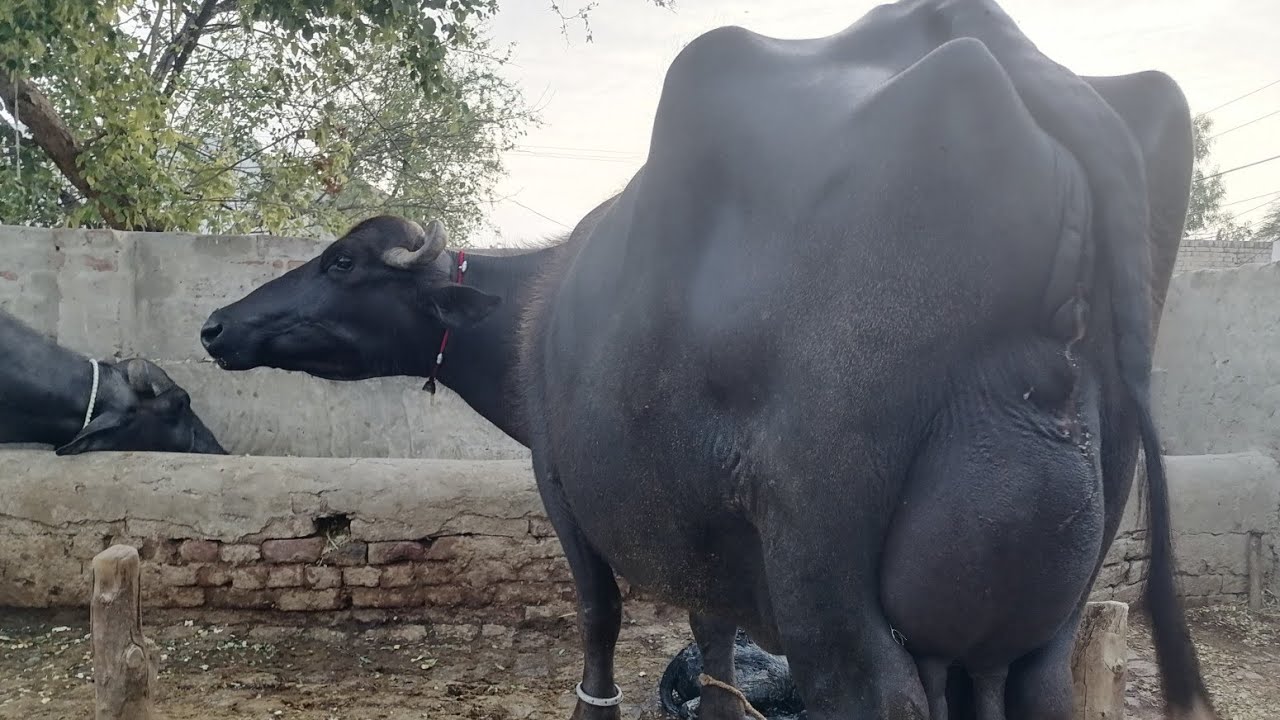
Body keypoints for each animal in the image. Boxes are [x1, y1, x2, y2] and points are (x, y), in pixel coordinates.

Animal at [202, 1, 1215, 718]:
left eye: (340, 262)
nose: (216, 325)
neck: (533, 313)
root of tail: (995, 46)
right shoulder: (709, 534)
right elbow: (716, 646)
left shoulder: (561, 485)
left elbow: (600, 624)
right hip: (1063, 574)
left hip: (824, 561)